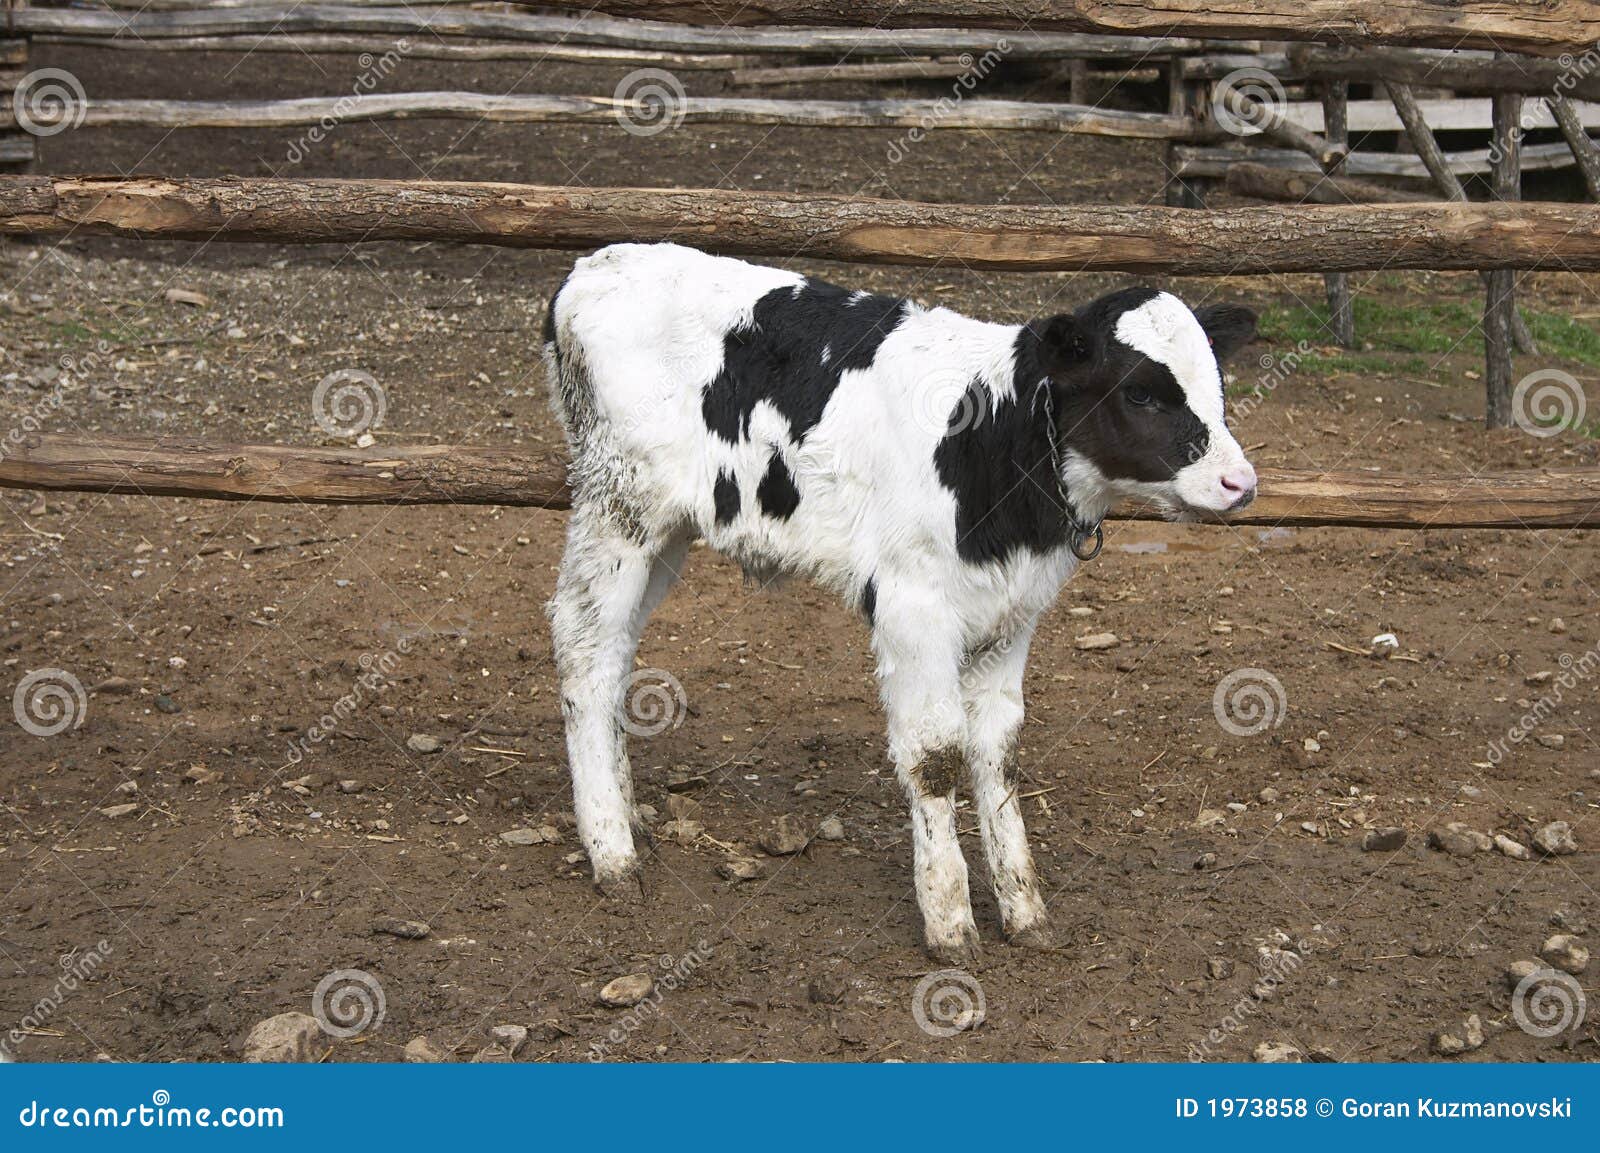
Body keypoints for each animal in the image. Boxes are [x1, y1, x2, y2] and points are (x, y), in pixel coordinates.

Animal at [544, 242, 1257, 962]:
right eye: (1140, 391)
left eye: (1218, 387)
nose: (1240, 482)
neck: (988, 443)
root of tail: (595, 264)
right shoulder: (912, 609)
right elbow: (936, 756)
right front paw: (949, 918)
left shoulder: (1012, 615)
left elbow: (999, 752)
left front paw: (1024, 907)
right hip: (618, 511)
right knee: (586, 656)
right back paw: (612, 851)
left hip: (667, 534)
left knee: (619, 653)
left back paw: (629, 816)